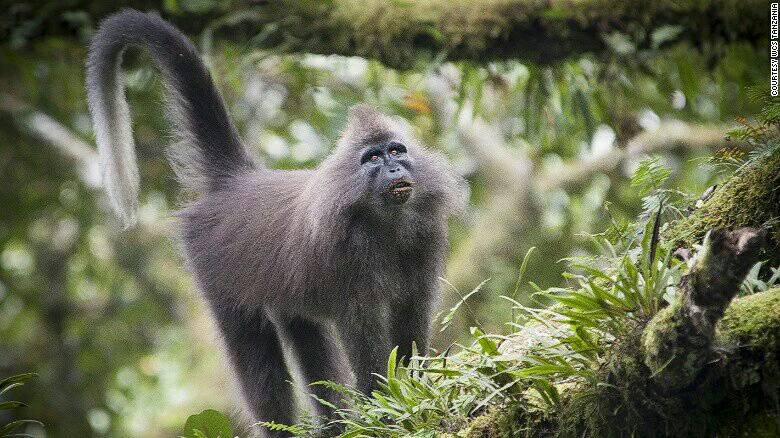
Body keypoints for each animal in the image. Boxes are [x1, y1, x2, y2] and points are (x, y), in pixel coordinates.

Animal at [86, 9, 467, 436]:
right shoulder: (349, 264)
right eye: (373, 158)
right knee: (254, 352)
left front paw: (412, 395)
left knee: (303, 333)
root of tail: (236, 182)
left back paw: (333, 424)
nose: (394, 167)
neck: (384, 224)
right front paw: (385, 411)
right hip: (218, 273)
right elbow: (364, 339)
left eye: (397, 151)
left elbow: (411, 321)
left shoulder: (424, 241)